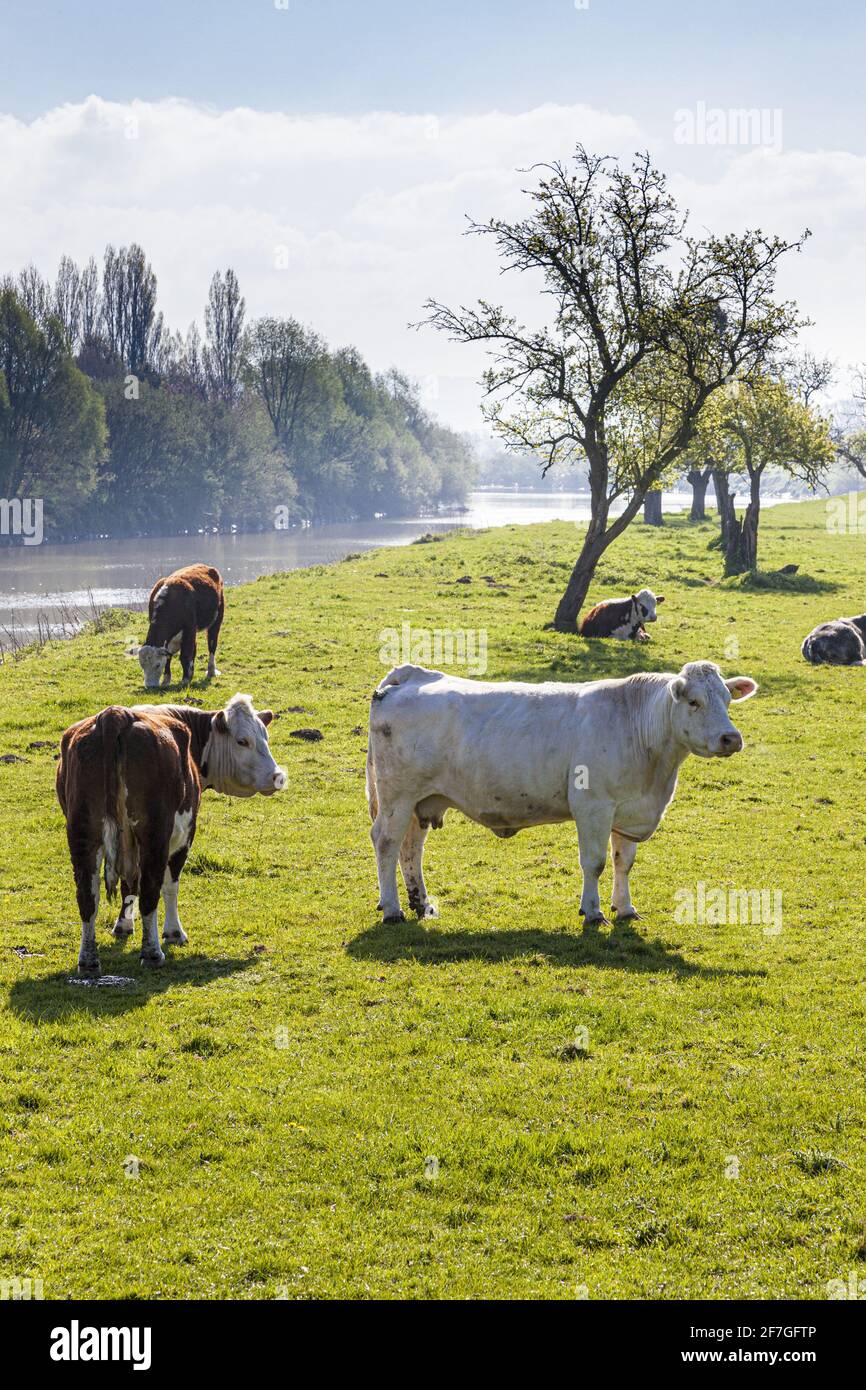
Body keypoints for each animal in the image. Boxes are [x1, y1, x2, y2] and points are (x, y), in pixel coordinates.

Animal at [56, 693, 286, 976]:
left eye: (265, 737)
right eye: (243, 741)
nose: (277, 777)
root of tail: (116, 715)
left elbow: (129, 883)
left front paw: (123, 925)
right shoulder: (183, 835)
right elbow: (169, 885)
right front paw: (174, 932)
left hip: (83, 833)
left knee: (87, 896)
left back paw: (88, 960)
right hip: (154, 834)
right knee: (151, 891)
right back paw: (152, 953)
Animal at [366, 661, 757, 927]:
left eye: (727, 699)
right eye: (693, 702)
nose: (731, 738)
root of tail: (414, 674)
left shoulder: (628, 809)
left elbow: (623, 861)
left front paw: (625, 908)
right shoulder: (593, 807)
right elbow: (595, 862)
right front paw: (593, 911)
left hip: (421, 800)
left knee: (411, 846)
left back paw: (421, 903)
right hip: (396, 797)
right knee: (387, 842)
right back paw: (393, 909)